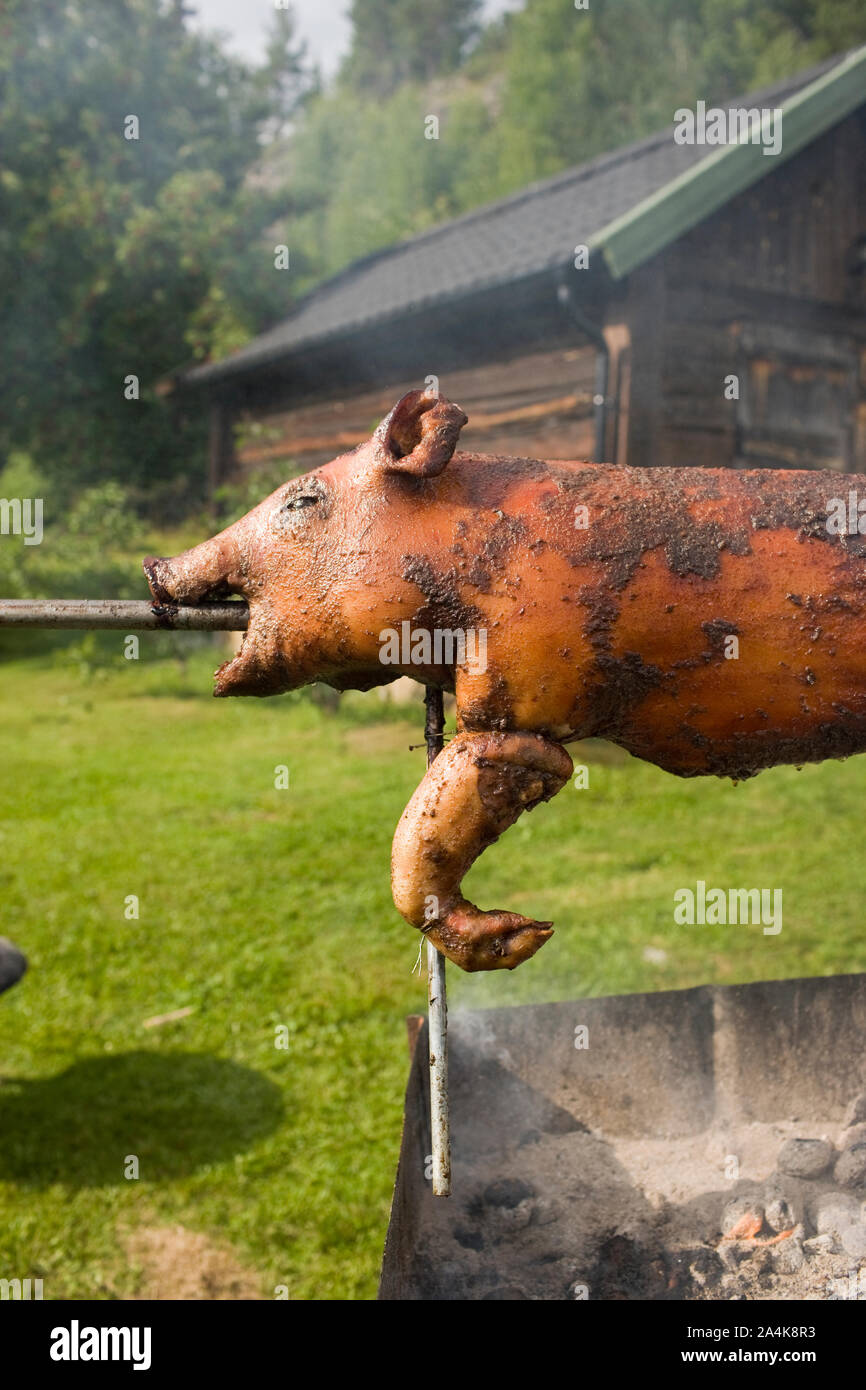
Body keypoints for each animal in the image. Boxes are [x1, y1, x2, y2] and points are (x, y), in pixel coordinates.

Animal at [145, 389, 866, 971]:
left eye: (304, 500)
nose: (156, 566)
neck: (465, 549)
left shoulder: (526, 695)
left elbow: (429, 828)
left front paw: (530, 934)